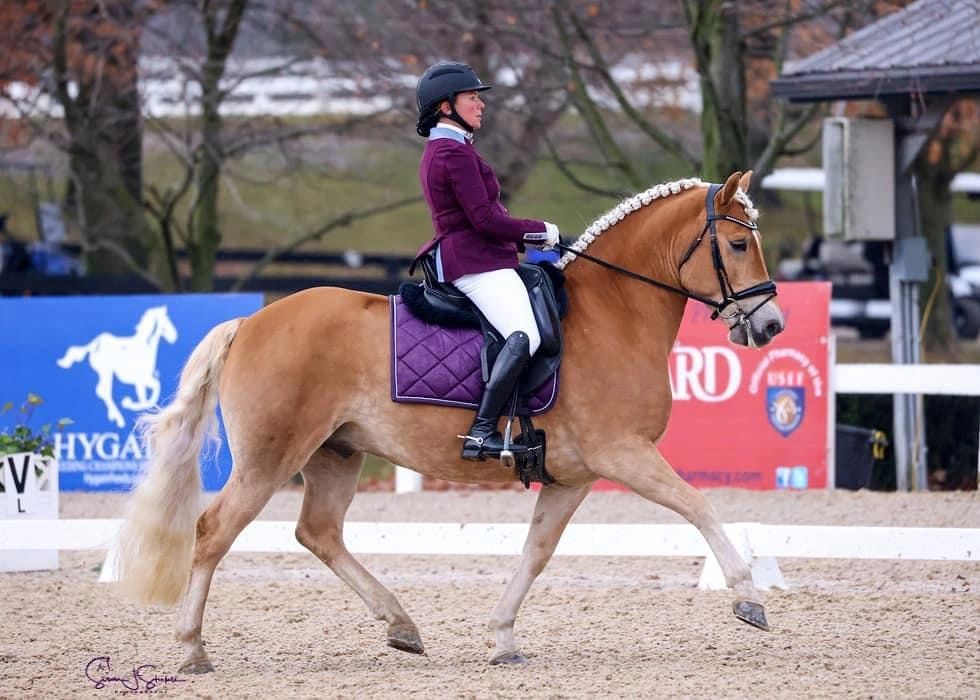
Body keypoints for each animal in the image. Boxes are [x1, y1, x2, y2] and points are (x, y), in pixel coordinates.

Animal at [116, 171, 784, 673]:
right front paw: (749, 598)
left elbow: (537, 550)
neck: (614, 313)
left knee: (318, 533)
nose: (771, 325)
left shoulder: (574, 475)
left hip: (335, 453)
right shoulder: (624, 452)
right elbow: (699, 506)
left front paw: (503, 637)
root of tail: (251, 322)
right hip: (269, 458)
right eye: (737, 245)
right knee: (212, 532)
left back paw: (401, 626)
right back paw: (192, 651)